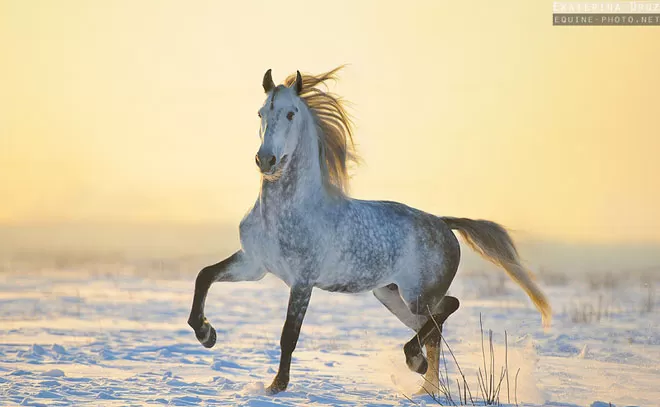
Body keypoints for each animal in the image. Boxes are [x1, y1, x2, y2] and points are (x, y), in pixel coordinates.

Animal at [187, 67, 552, 396]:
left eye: (291, 113)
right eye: (261, 113)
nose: (266, 160)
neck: (285, 213)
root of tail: (443, 223)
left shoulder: (302, 281)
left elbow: (289, 335)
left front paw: (276, 387)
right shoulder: (254, 265)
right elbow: (204, 275)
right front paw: (207, 335)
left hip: (419, 294)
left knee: (447, 309)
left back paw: (416, 364)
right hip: (389, 294)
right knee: (433, 328)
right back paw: (425, 385)